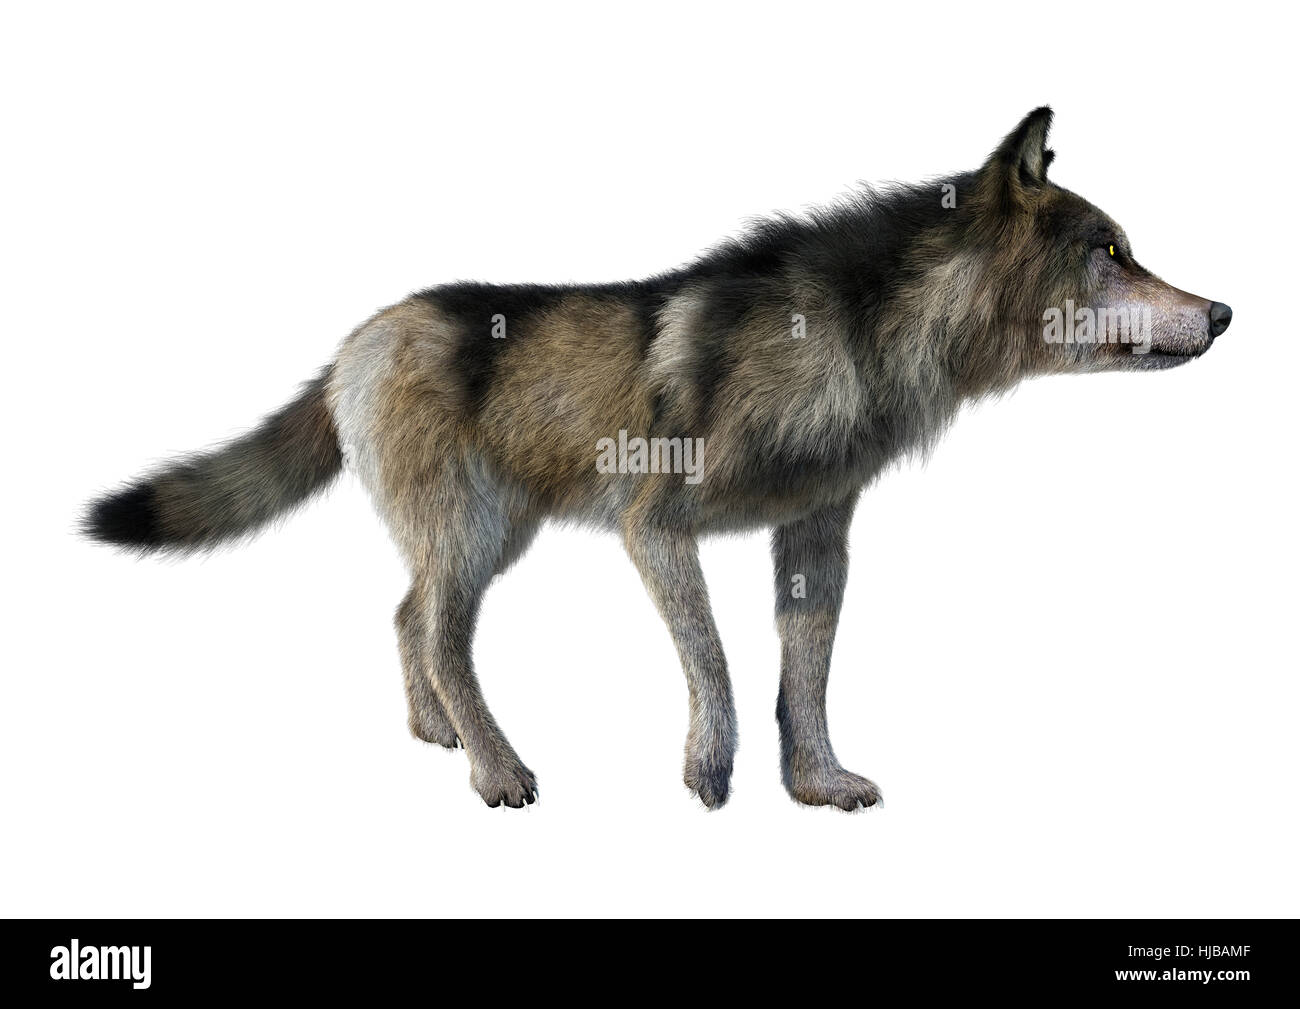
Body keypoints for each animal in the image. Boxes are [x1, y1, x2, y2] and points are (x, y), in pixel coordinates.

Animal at [85, 108, 1231, 810]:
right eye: (1112, 252)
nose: (1222, 312)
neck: (859, 340)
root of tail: (354, 341)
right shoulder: (656, 525)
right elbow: (716, 663)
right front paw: (709, 770)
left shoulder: (816, 535)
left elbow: (805, 680)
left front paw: (815, 785)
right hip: (478, 537)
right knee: (439, 635)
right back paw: (496, 769)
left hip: (486, 539)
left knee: (405, 616)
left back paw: (437, 735)